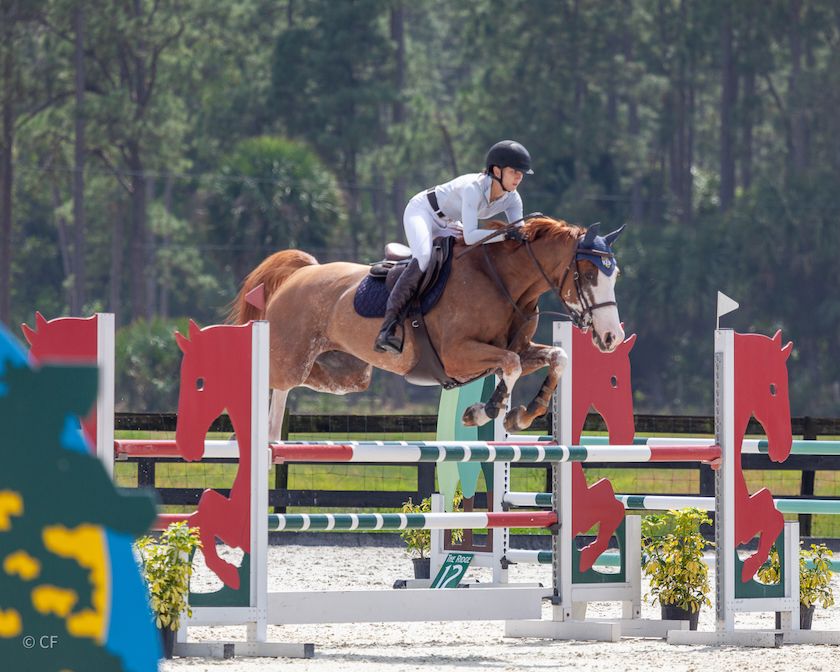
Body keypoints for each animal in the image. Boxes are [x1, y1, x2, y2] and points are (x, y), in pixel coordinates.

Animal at [229, 217, 626, 441]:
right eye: (588, 274)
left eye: (615, 274)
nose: (612, 338)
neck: (502, 281)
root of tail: (299, 274)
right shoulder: (457, 355)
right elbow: (511, 364)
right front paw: (483, 411)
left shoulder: (515, 349)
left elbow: (556, 357)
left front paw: (521, 415)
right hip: (291, 355)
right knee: (276, 378)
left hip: (349, 375)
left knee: (295, 383)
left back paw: (270, 436)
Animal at [570, 326, 637, 572]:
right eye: (613, 380)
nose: (625, 437)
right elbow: (612, 506)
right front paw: (587, 556)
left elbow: (613, 500)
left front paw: (587, 556)